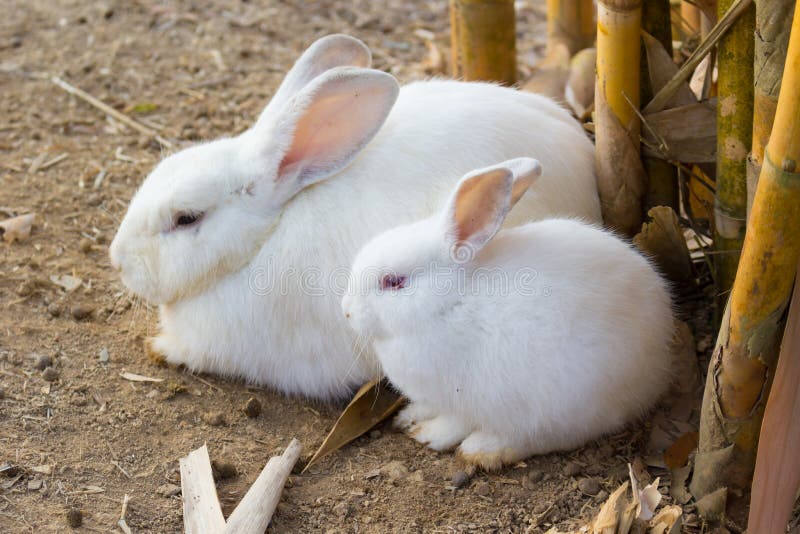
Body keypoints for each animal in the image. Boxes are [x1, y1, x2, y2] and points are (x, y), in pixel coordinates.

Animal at [341, 158, 675, 469]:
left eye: (393, 282)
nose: (346, 311)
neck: (448, 304)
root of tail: (660, 364)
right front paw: (409, 417)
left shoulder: (466, 398)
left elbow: (454, 423)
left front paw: (428, 435)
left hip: (562, 403)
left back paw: (482, 449)